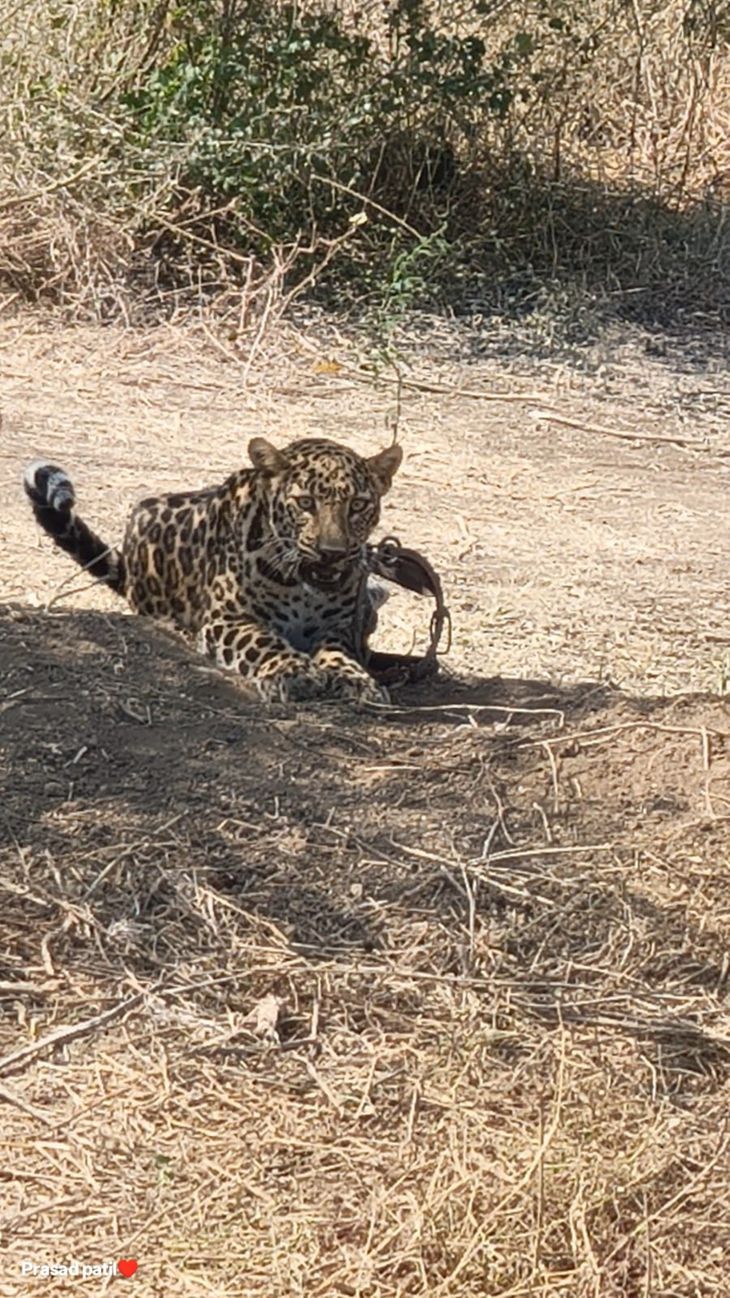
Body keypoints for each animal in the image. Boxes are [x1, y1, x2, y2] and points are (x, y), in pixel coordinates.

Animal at [23, 436, 403, 705]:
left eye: (358, 505)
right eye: (306, 503)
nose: (331, 553)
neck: (300, 587)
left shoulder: (340, 627)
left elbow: (339, 655)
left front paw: (356, 680)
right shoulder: (227, 620)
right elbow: (264, 641)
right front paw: (293, 671)